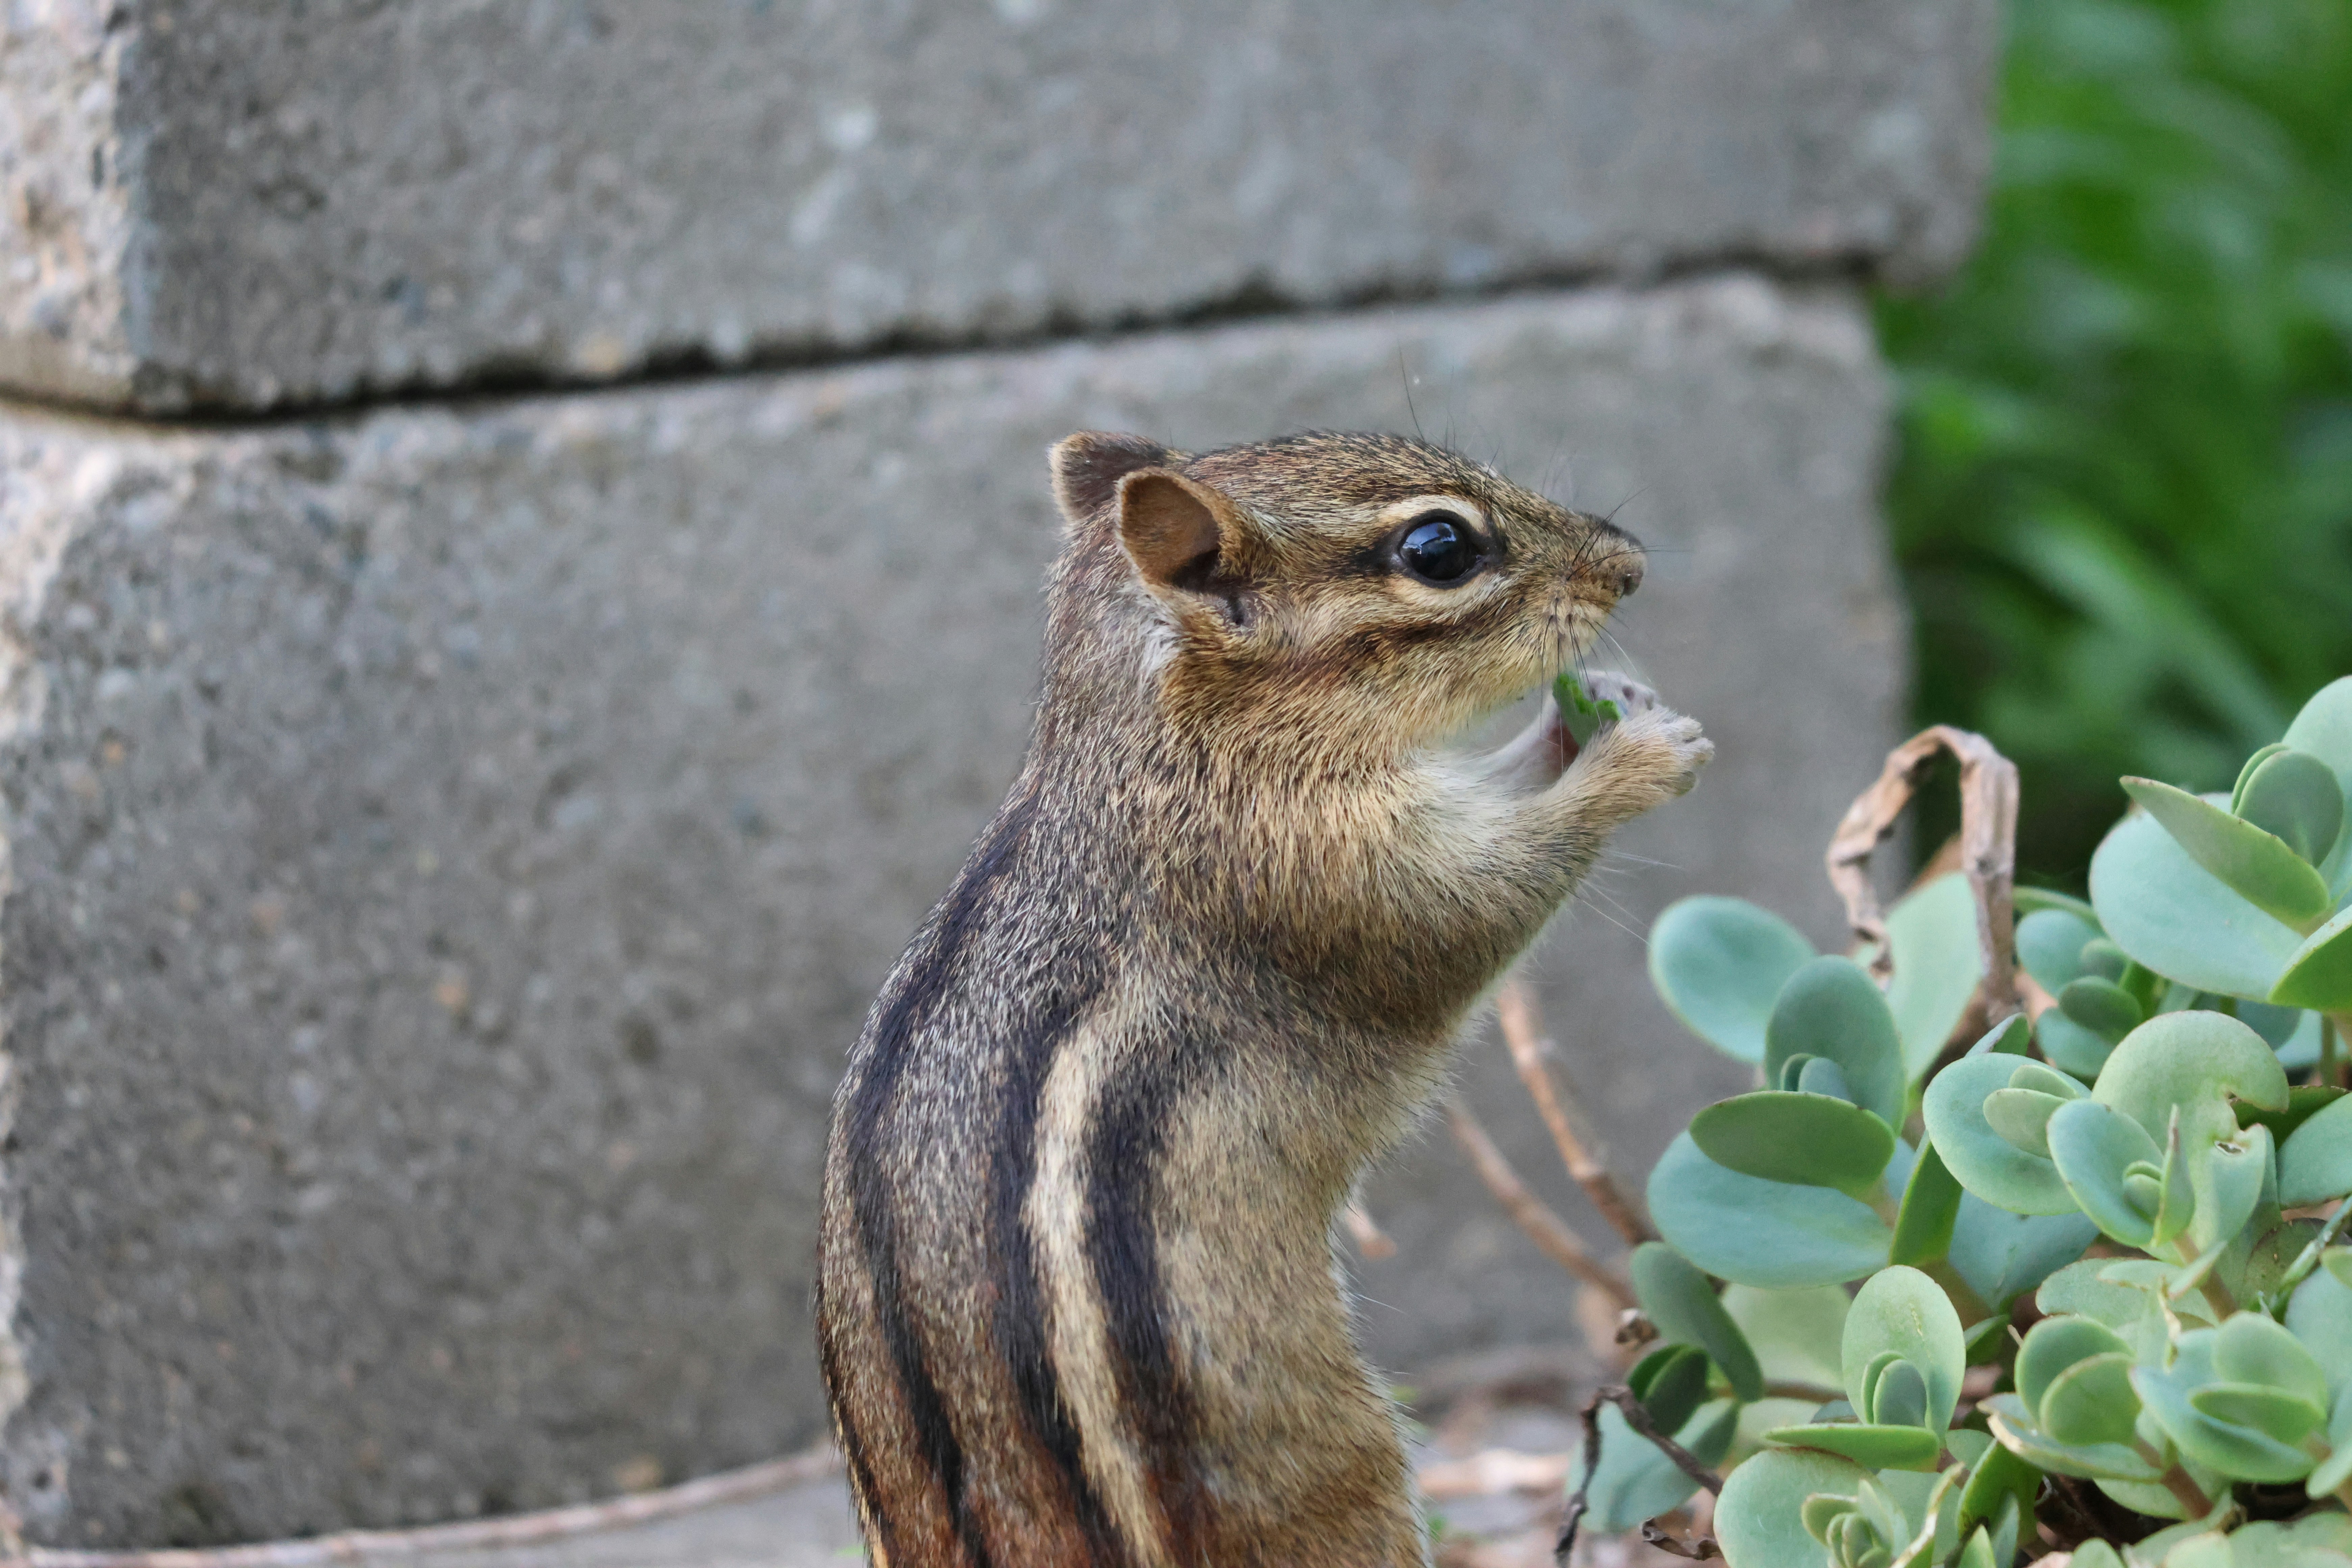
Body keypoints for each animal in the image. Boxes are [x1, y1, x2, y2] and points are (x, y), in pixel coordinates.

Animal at [816, 429, 1712, 1568]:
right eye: (1439, 549)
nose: (1628, 564)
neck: (1163, 749)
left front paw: (1597, 710)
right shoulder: (1339, 880)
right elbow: (1492, 891)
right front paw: (1639, 756)